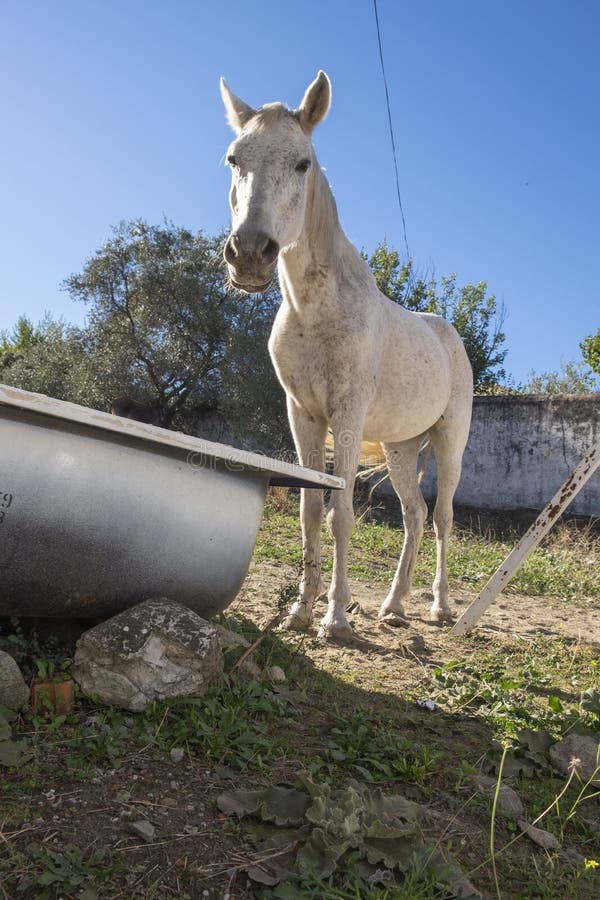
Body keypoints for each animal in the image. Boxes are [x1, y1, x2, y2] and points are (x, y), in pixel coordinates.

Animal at [220, 71, 473, 641]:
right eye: (233, 159)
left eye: (302, 163)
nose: (249, 255)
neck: (317, 309)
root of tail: (450, 338)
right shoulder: (304, 415)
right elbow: (311, 510)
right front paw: (300, 611)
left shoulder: (348, 415)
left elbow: (340, 515)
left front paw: (334, 619)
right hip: (402, 447)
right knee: (414, 516)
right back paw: (393, 605)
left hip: (449, 441)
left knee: (443, 517)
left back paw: (440, 607)